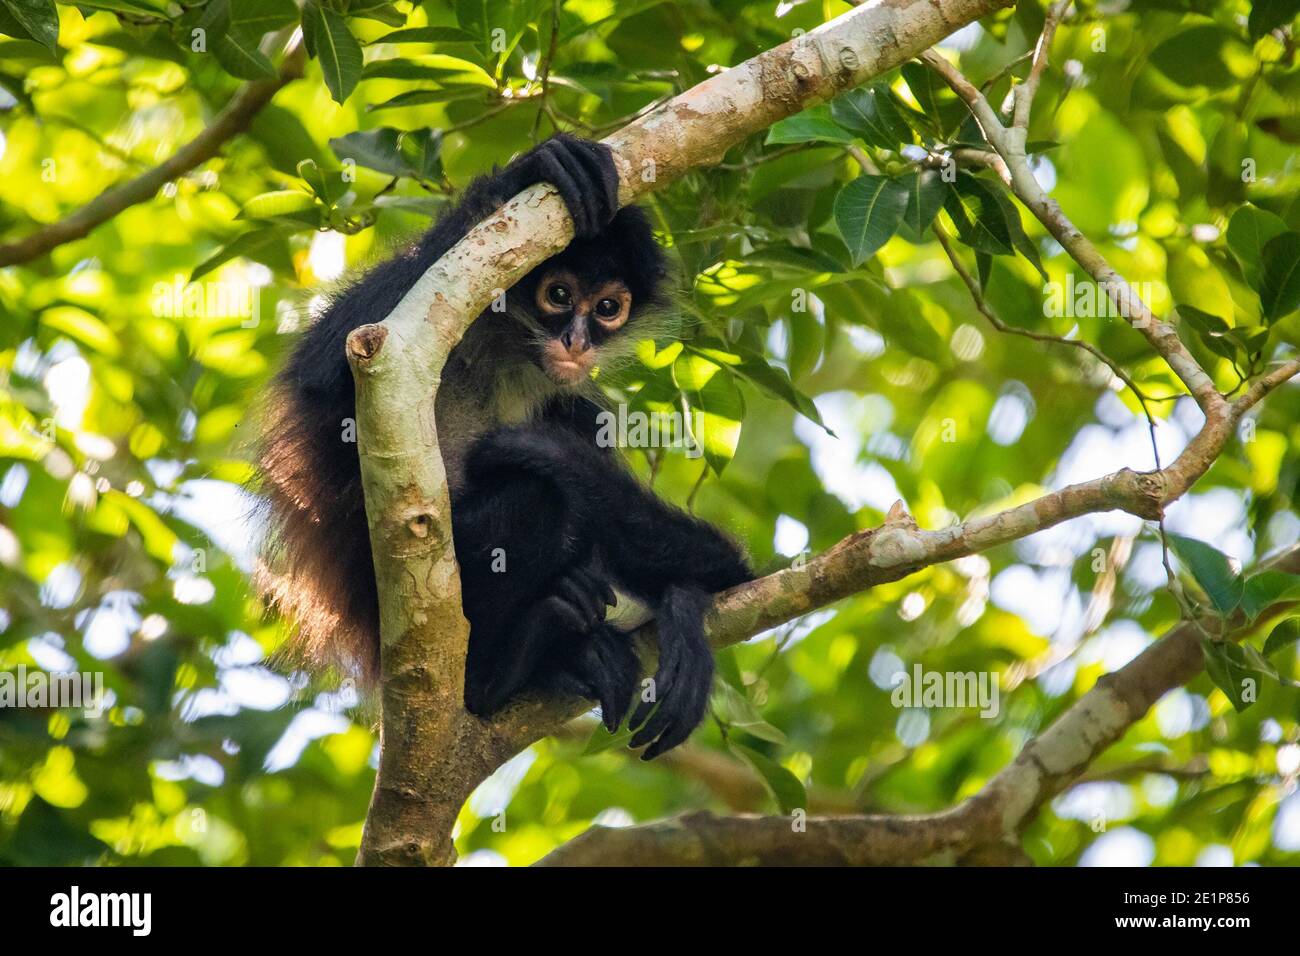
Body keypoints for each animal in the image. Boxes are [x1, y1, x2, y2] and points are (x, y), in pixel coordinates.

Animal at [258, 134, 751, 759]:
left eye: (607, 308)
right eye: (558, 295)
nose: (576, 341)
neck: (501, 347)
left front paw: (687, 607)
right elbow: (328, 370)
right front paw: (525, 171)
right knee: (533, 498)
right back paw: (493, 675)